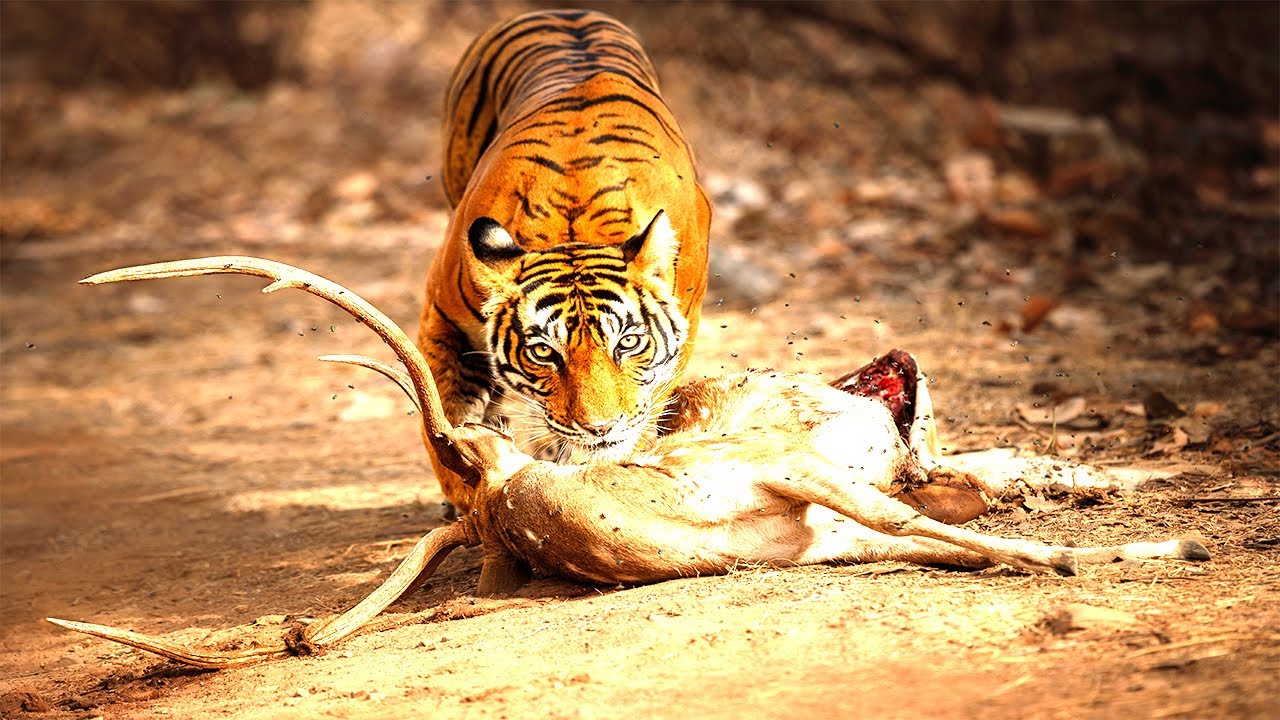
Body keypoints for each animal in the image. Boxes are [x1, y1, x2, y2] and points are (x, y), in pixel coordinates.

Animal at [417, 9, 712, 513]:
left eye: (629, 343)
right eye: (543, 352)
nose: (601, 428)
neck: (574, 229)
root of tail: (565, 11)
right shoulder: (443, 313)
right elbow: (444, 412)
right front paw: (470, 484)